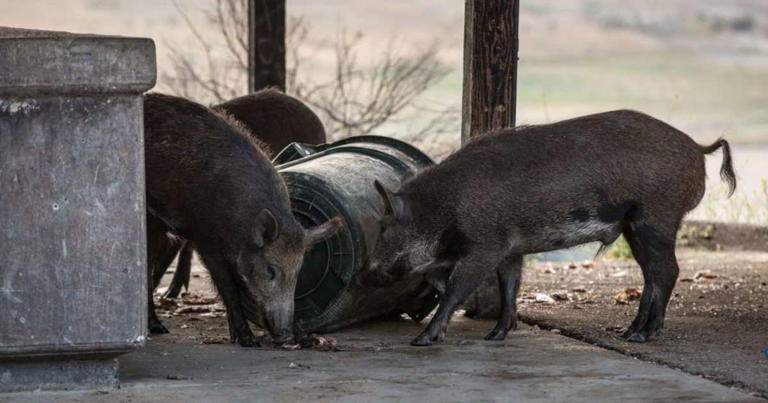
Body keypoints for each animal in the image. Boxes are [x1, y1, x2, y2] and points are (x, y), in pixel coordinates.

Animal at [358, 110, 736, 346]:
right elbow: (509, 287)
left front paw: (421, 341)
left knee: (668, 271)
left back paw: (645, 336)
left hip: (656, 217)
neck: (444, 208)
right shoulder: (511, 249)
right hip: (634, 225)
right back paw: (628, 334)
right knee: (651, 275)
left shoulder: (485, 245)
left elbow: (456, 290)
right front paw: (495, 336)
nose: (363, 274)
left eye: (384, 227)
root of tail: (698, 147)